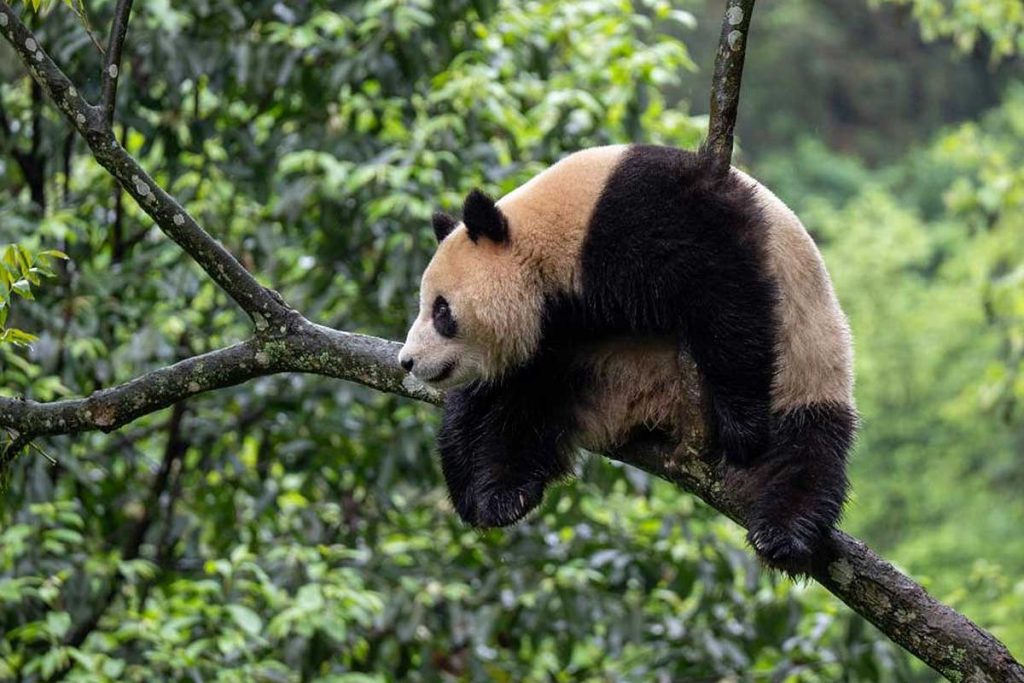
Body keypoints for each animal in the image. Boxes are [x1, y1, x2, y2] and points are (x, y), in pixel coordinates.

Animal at [398, 144, 856, 571]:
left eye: (441, 310)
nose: (408, 361)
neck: (552, 237)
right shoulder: (557, 328)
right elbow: (498, 393)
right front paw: (475, 485)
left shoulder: (655, 214)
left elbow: (726, 294)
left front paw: (740, 428)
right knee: (526, 411)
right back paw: (503, 494)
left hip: (807, 369)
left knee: (804, 454)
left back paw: (782, 535)